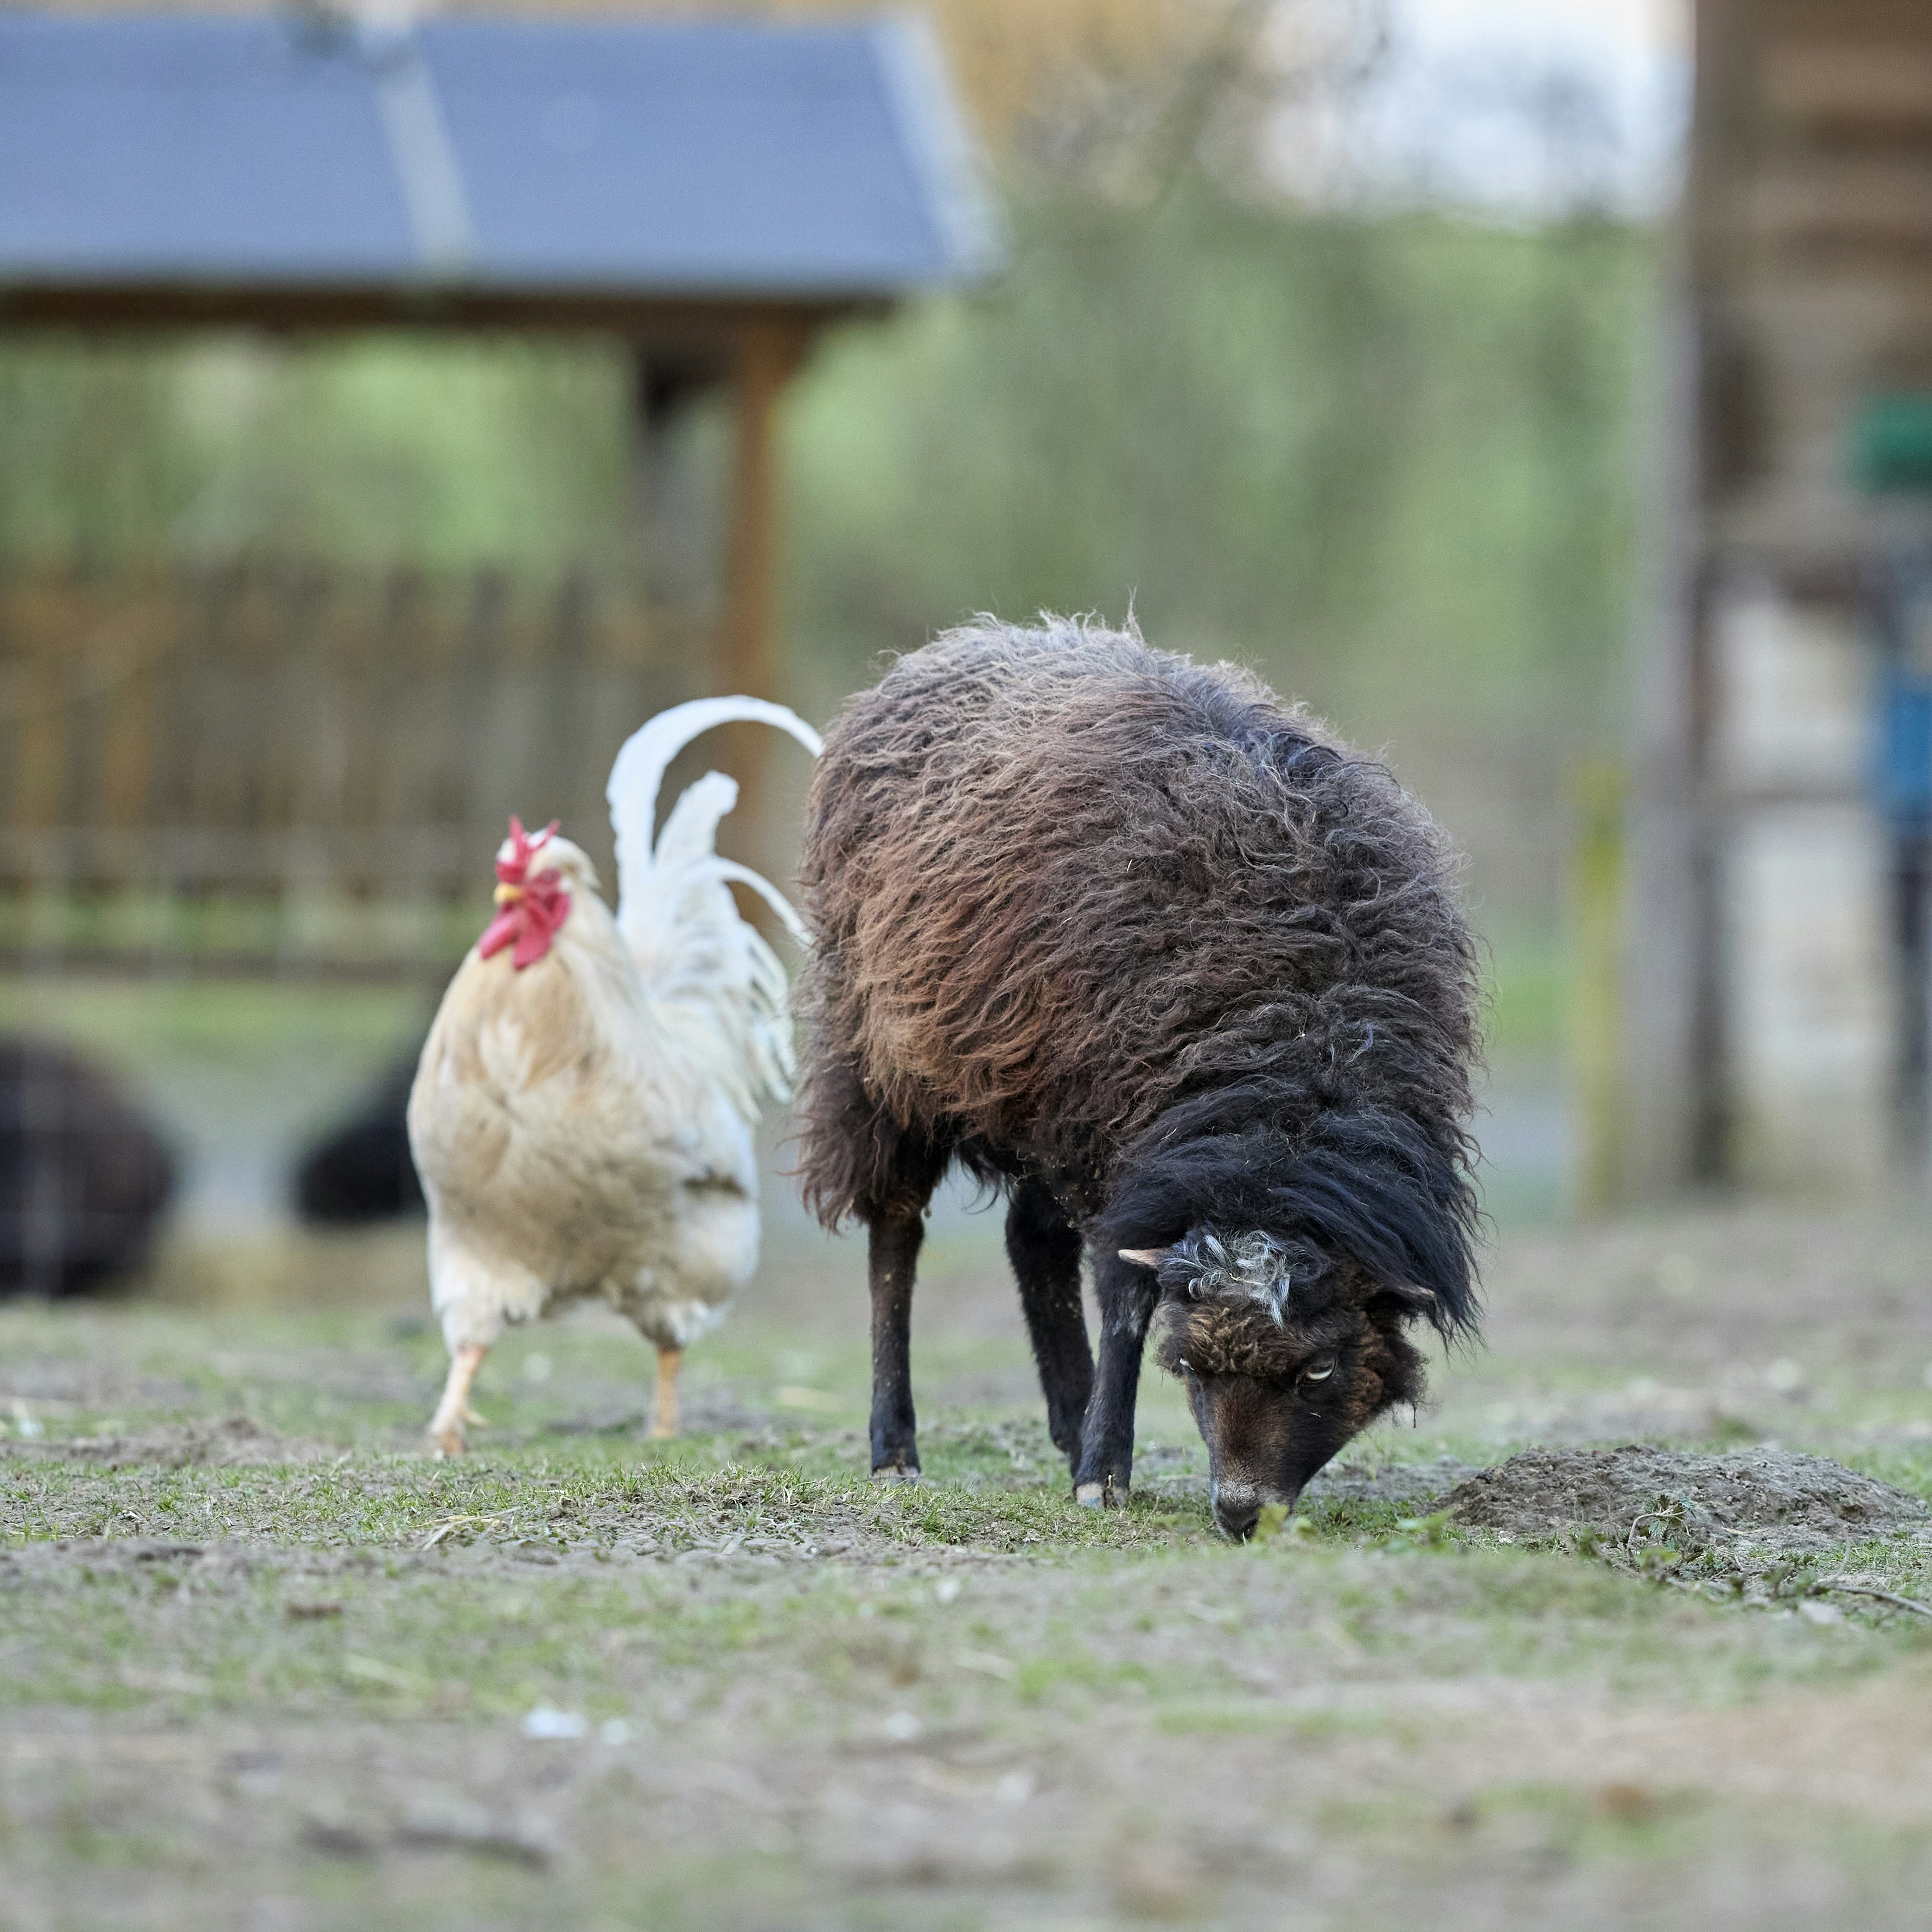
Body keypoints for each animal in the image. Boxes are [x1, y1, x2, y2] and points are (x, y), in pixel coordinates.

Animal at [794, 616, 1481, 1536]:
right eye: (1192, 1370)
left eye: (1317, 1370)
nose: (1240, 1514)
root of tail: (955, 644)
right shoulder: (1123, 1134)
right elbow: (1124, 1298)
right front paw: (1103, 1475)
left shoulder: (1116, 1126)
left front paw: (1093, 1449)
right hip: (884, 1059)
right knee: (896, 1235)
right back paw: (897, 1448)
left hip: (1043, 1095)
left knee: (1032, 1239)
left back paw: (1067, 1415)